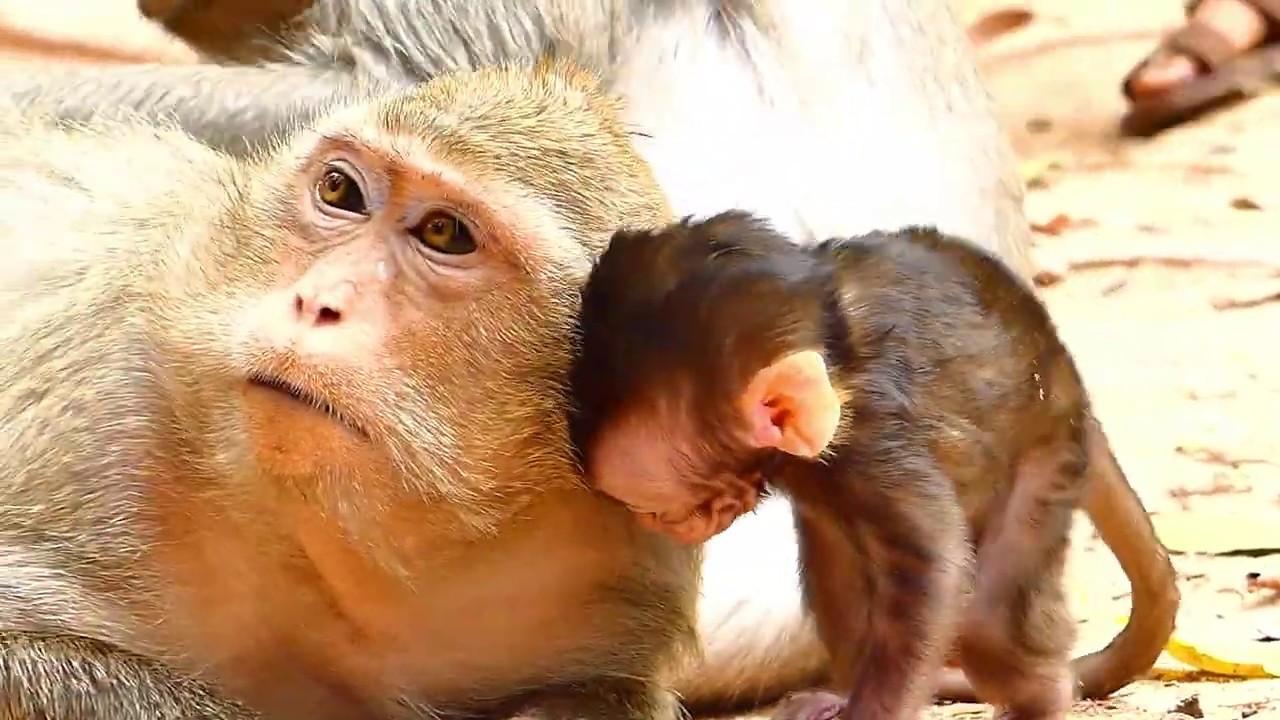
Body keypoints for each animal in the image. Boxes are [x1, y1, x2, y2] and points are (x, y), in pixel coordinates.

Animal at [567, 212, 1182, 719]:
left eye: (670, 508)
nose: (656, 523)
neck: (834, 350)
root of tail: (1063, 375)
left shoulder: (878, 445)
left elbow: (936, 569)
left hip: (1047, 461)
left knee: (987, 616)